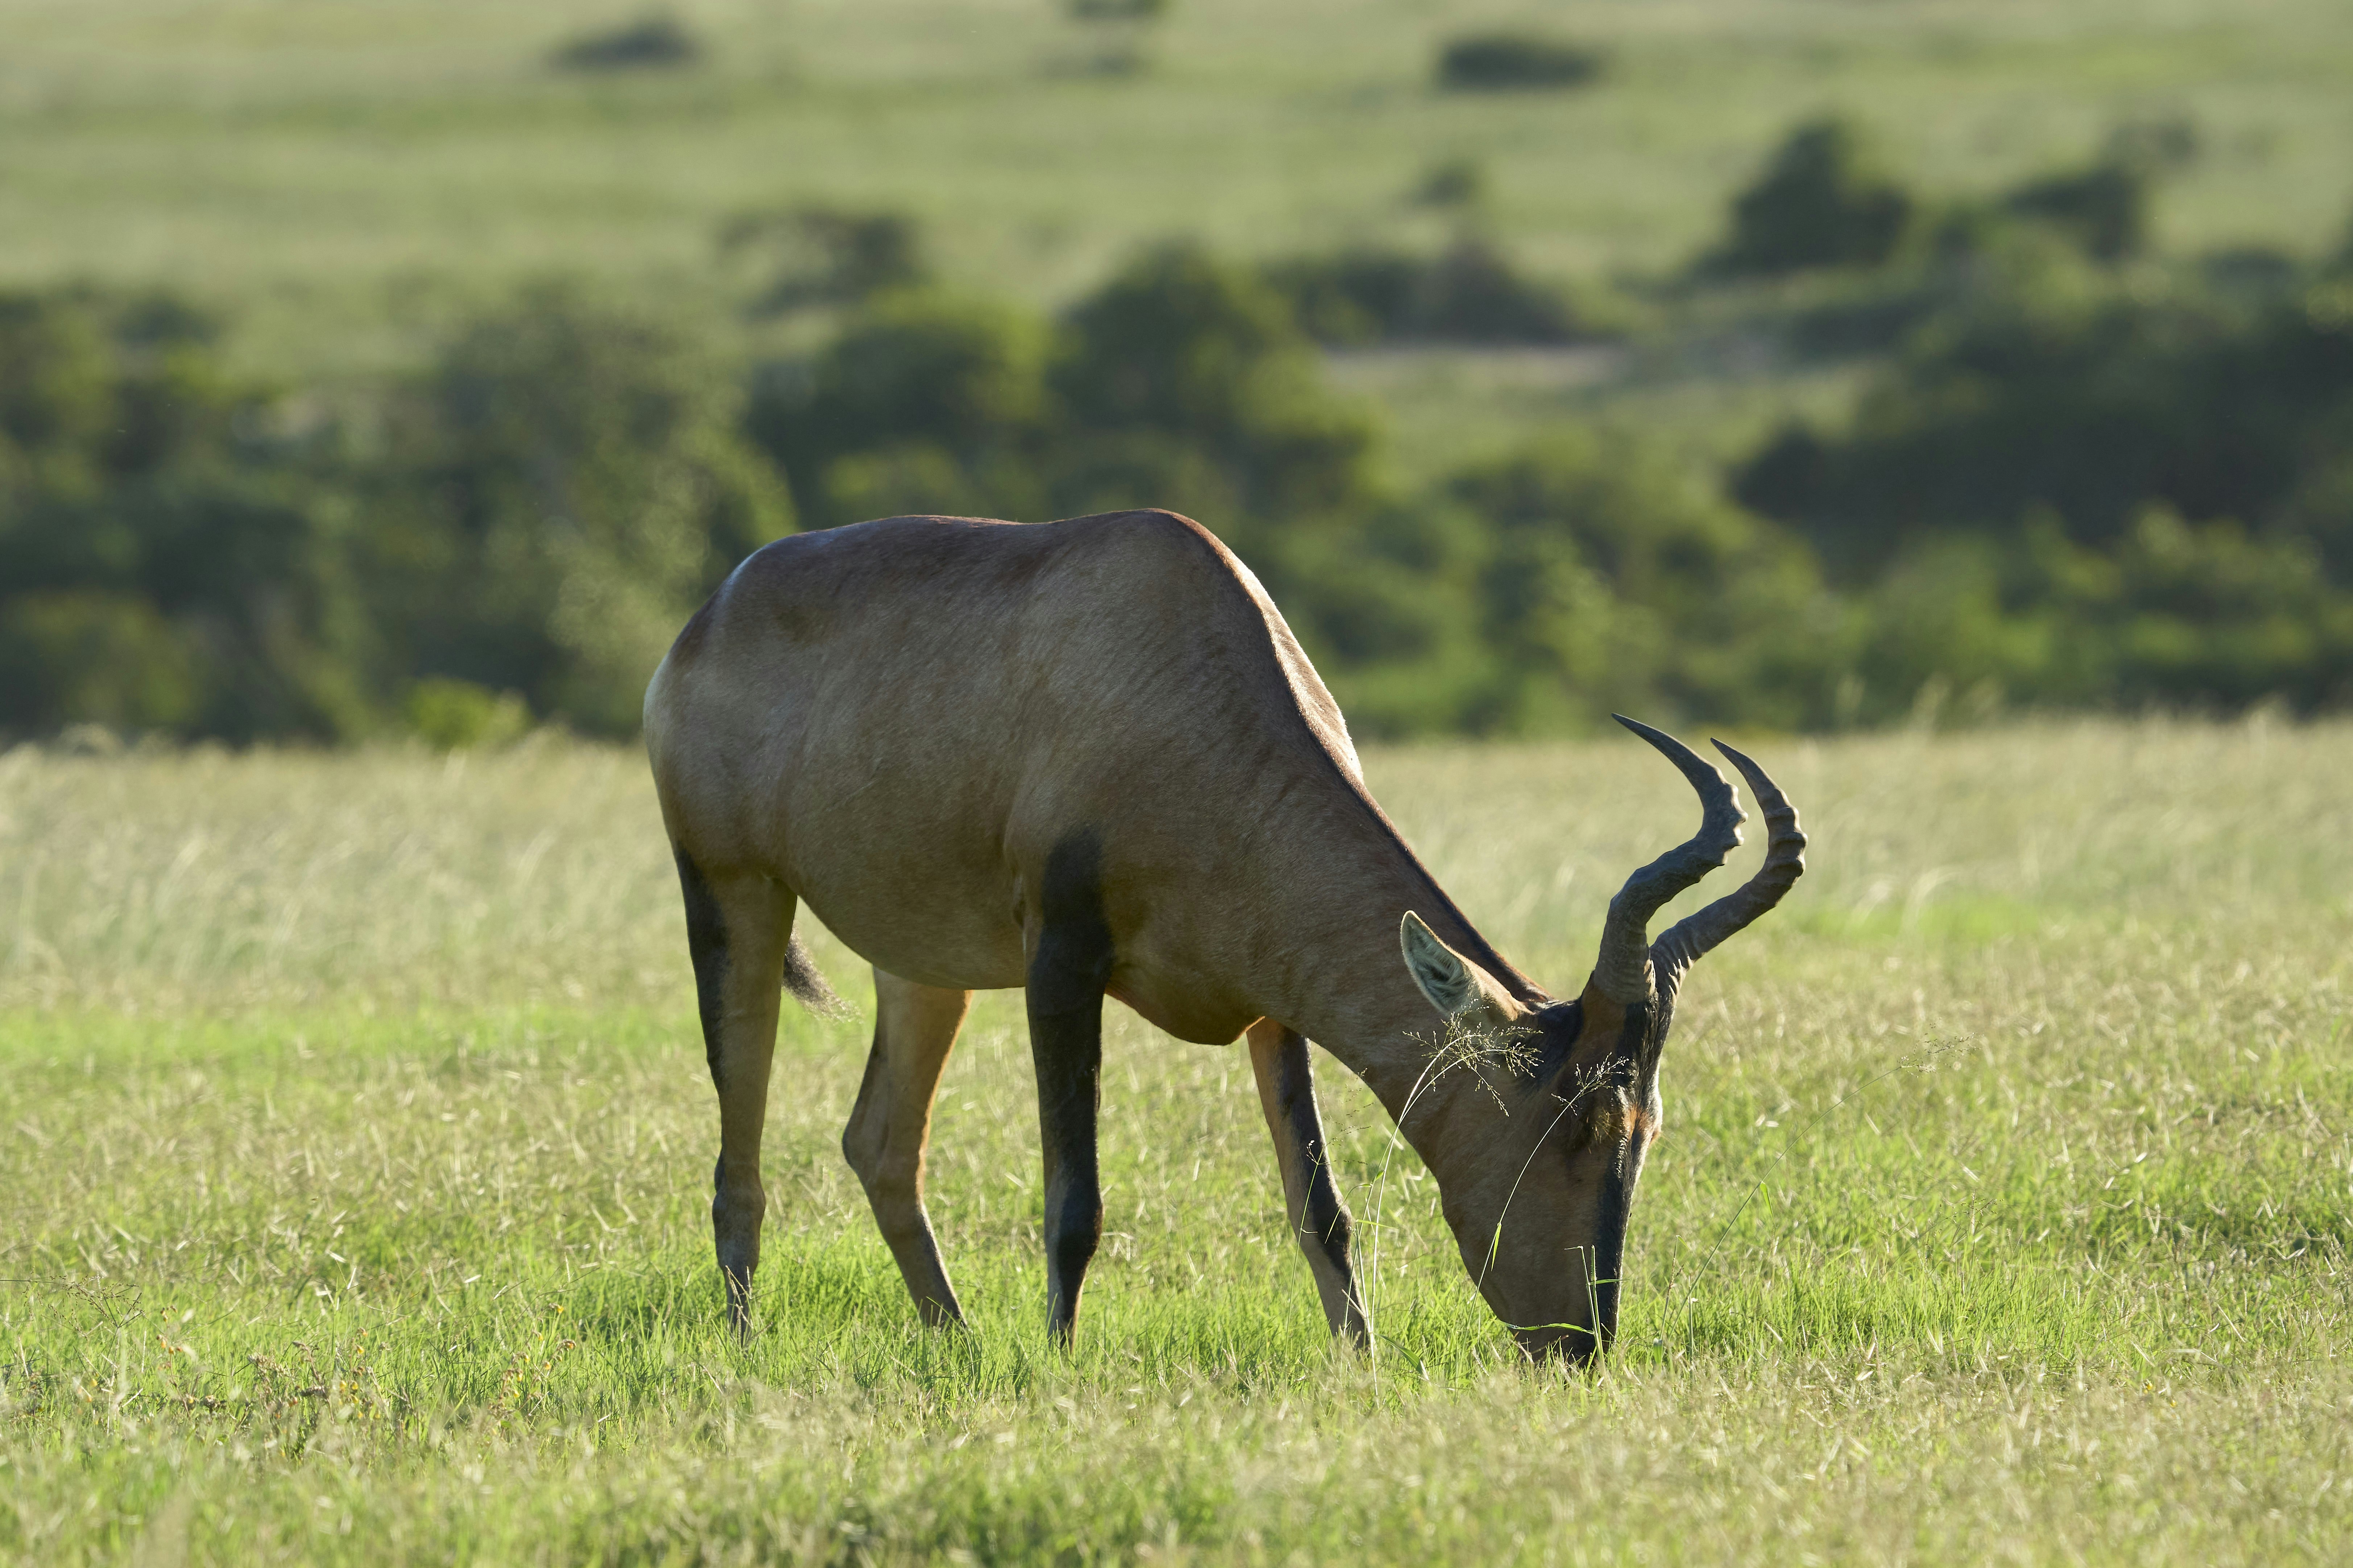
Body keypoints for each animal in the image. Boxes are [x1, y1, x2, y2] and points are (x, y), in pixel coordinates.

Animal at [644, 509, 1804, 1361]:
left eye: (1648, 1126)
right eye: (1580, 1117)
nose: (1578, 1343)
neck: (1187, 666)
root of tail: (712, 614)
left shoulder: (1271, 1004)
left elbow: (1323, 1207)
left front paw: (1360, 1365)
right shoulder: (1060, 959)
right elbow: (1076, 1199)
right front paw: (1058, 1366)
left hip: (924, 964)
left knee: (880, 1143)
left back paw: (957, 1342)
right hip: (733, 893)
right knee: (740, 1146)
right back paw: (748, 1347)